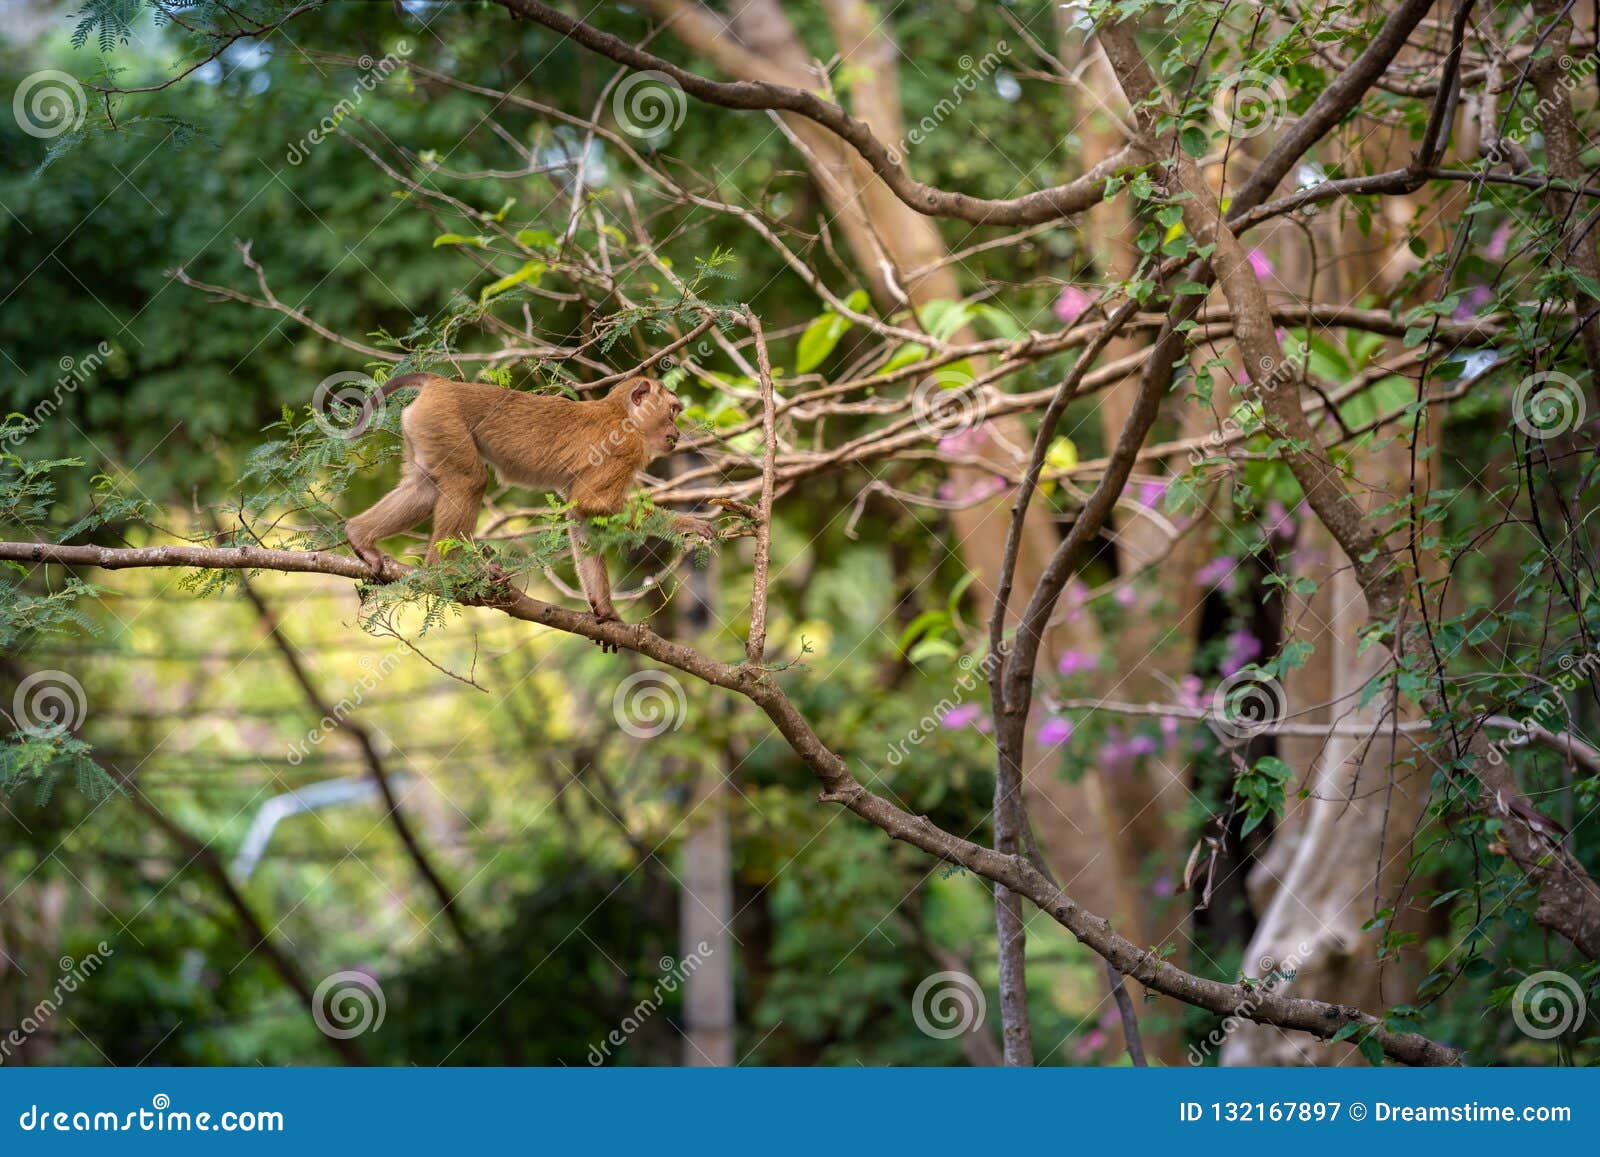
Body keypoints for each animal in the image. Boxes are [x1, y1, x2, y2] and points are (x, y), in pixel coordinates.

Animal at [344, 371, 715, 627]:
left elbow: (582, 517)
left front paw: (605, 610)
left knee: (424, 487)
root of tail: (439, 384)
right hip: (444, 422)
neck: (624, 416)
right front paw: (690, 524)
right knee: (469, 482)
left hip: (426, 427)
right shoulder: (624, 450)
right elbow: (594, 504)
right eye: (673, 411)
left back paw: (359, 537)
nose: (676, 433)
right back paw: (444, 567)